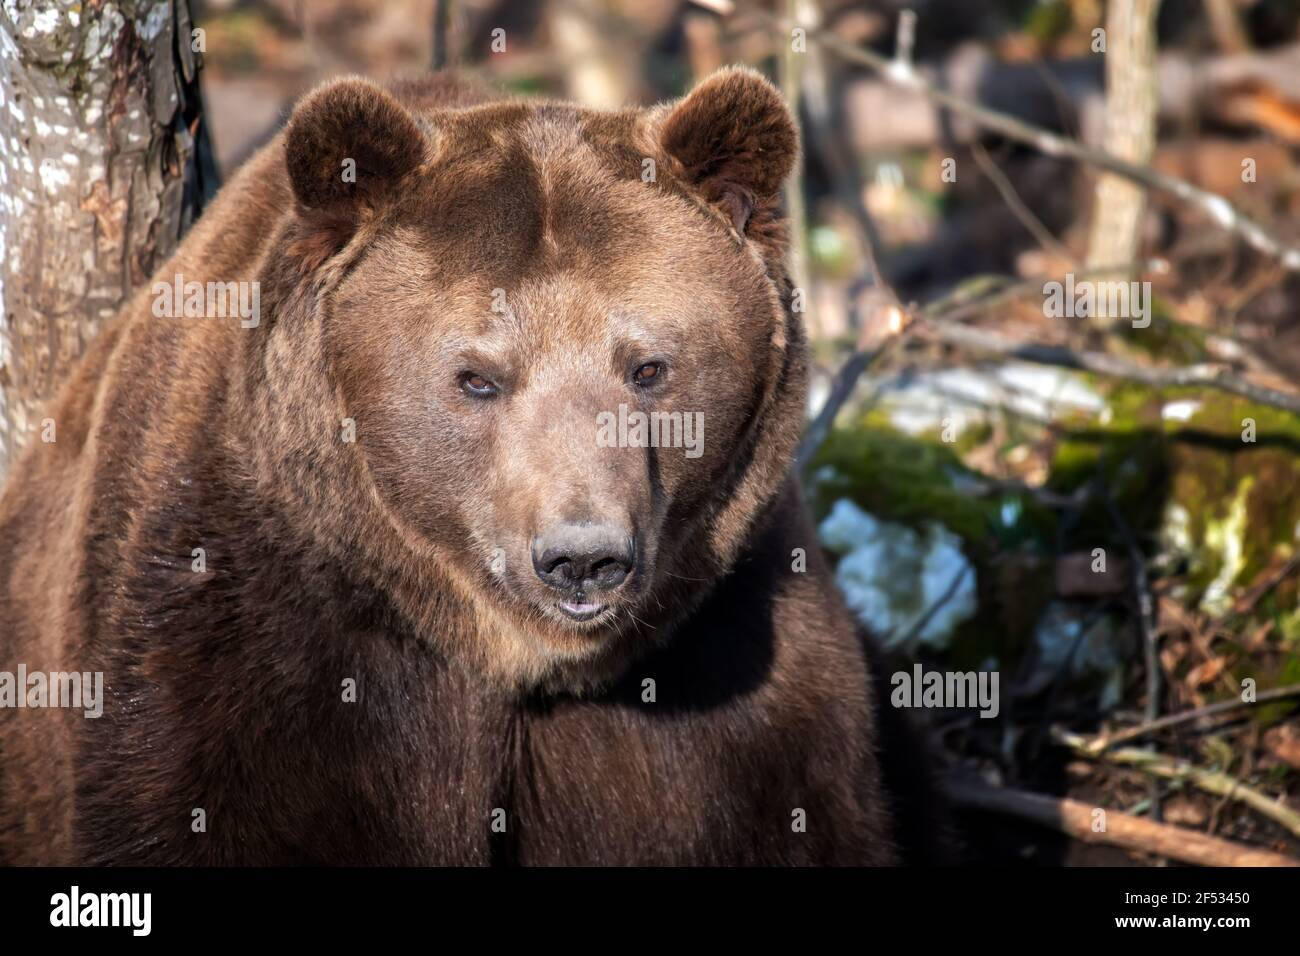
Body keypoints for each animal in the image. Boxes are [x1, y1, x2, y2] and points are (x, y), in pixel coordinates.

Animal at [0, 69, 939, 865]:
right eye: (477, 377)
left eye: (648, 367)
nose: (582, 556)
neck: (505, 651)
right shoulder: (243, 644)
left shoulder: (729, 668)